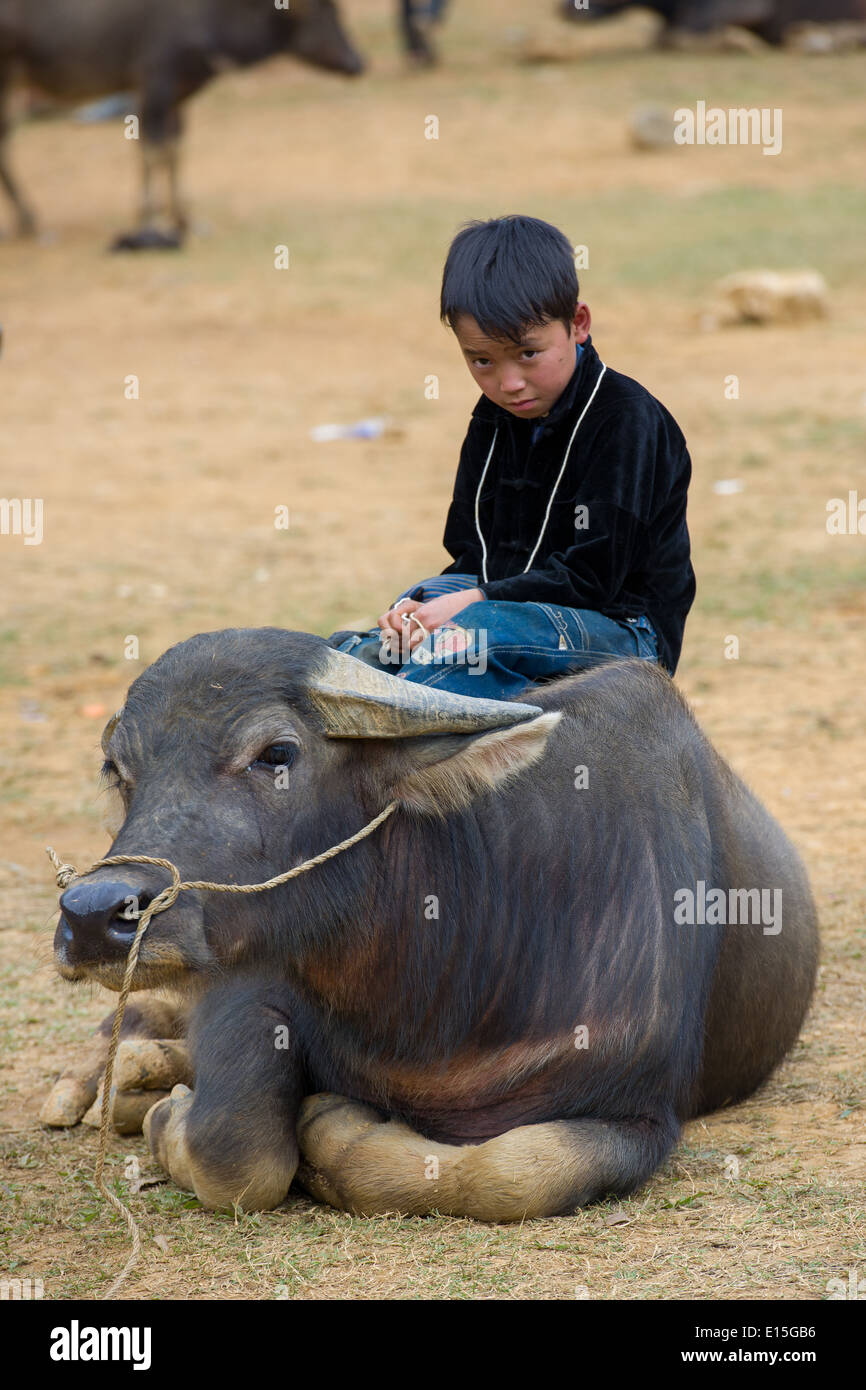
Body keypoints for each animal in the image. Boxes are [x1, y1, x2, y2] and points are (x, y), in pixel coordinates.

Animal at [0, 0, 363, 250]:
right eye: (330, 13)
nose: (358, 63)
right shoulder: (155, 83)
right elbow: (152, 150)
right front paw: (149, 220)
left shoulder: (176, 94)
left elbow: (173, 149)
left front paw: (184, 217)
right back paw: (29, 219)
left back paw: (26, 220)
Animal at [46, 628, 818, 1220]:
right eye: (117, 769)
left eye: (277, 753)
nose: (93, 915)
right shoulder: (249, 983)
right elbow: (238, 1151)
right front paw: (169, 1116)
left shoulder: (641, 1106)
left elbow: (515, 1170)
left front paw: (329, 1130)